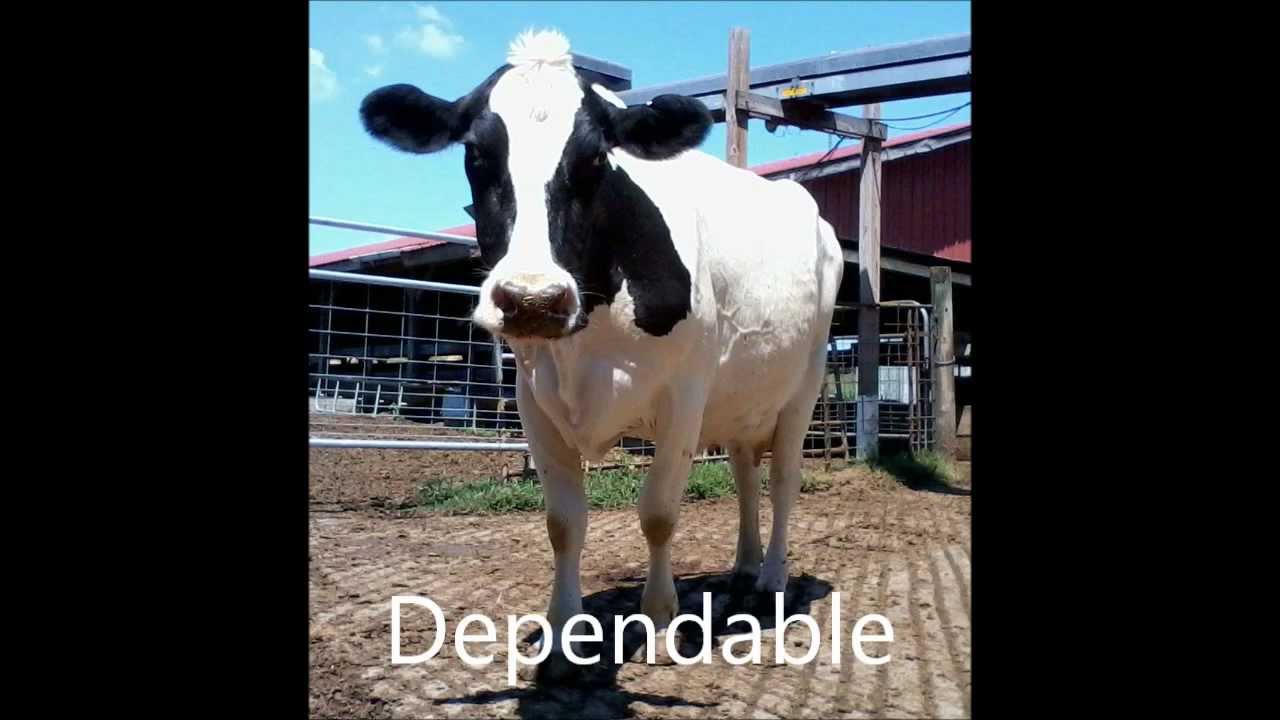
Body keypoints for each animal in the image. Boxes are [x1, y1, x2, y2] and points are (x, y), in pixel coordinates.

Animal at [360, 29, 843, 679]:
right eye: (477, 154)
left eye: (595, 159)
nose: (533, 298)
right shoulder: (533, 399)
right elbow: (564, 523)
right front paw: (562, 637)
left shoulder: (684, 396)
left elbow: (659, 511)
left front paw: (660, 617)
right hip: (740, 397)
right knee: (745, 473)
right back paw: (743, 567)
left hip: (804, 384)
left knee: (785, 478)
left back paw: (770, 579)